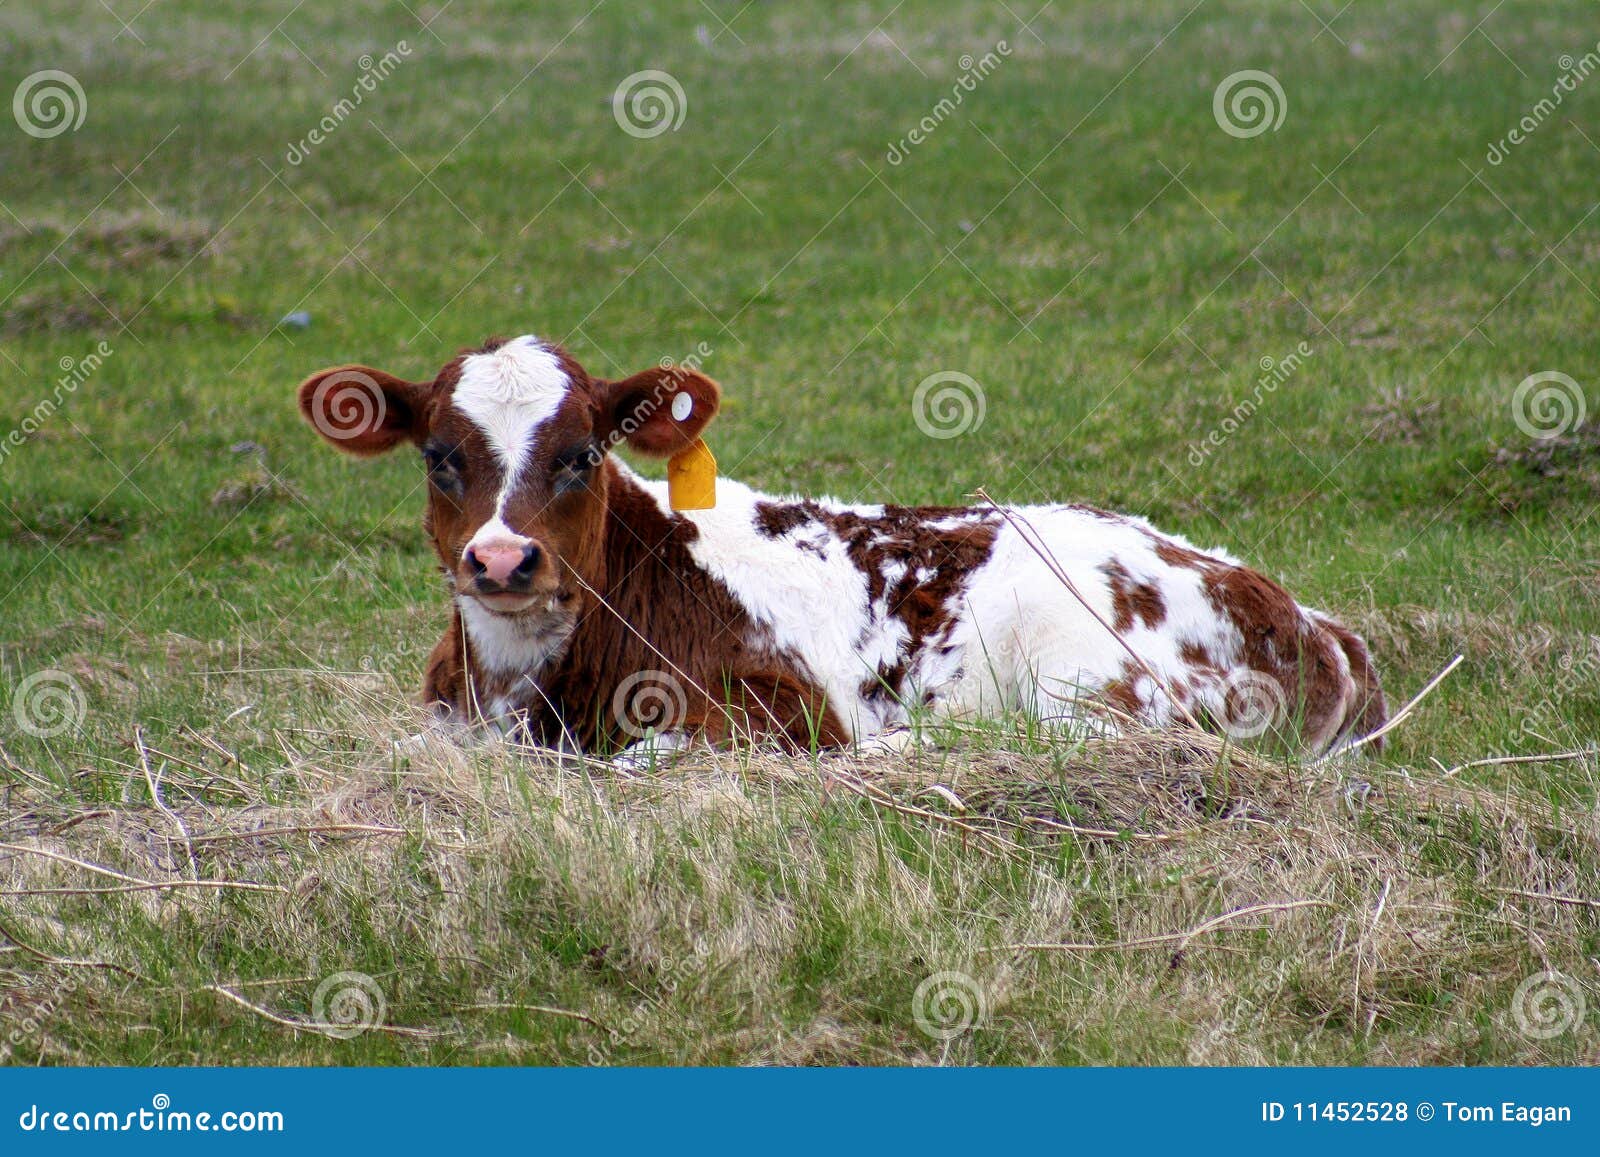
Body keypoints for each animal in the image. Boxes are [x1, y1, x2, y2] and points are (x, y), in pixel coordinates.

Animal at [297, 335, 1386, 758]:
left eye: (581, 455)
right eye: (440, 455)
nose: (500, 563)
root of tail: (1304, 613)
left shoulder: (771, 707)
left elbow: (651, 753)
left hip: (1102, 685)